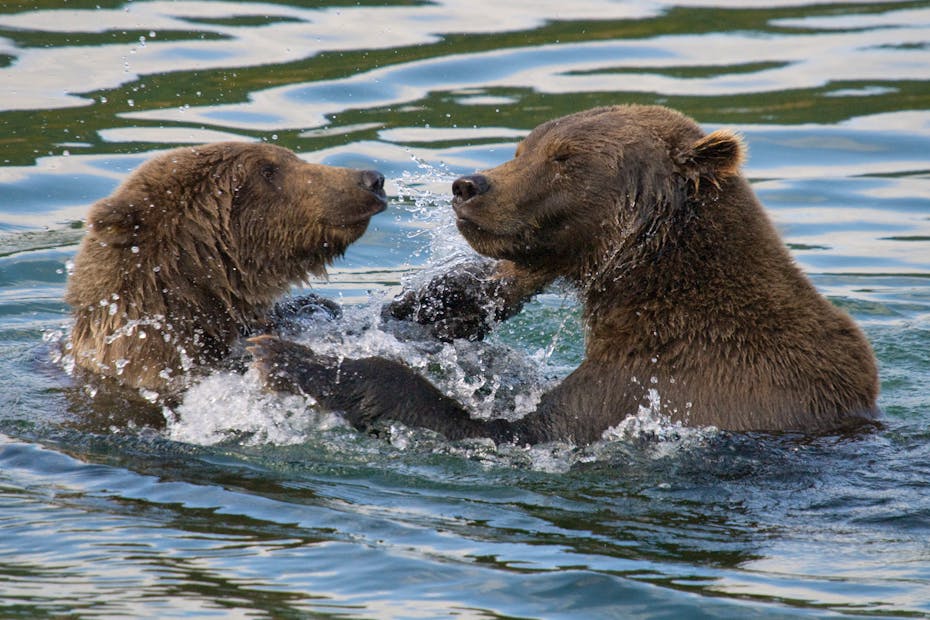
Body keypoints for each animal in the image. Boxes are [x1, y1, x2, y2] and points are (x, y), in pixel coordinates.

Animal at [248, 104, 880, 445]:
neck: (651, 288)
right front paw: (411, 307)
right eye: (525, 146)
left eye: (566, 159)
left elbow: (506, 431)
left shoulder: (664, 382)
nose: (468, 186)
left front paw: (291, 358)